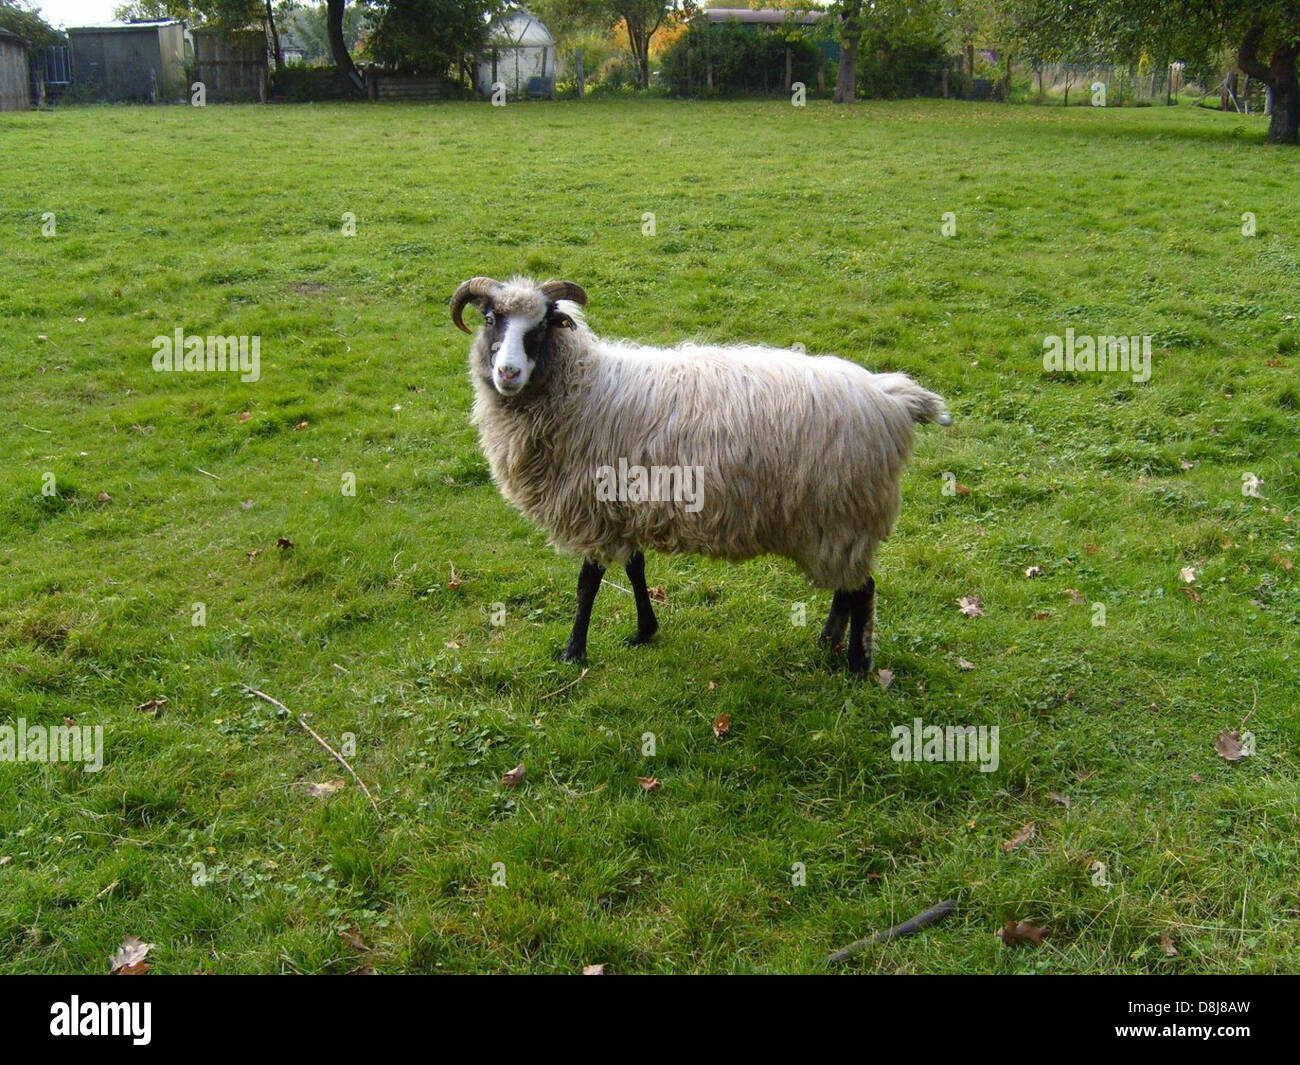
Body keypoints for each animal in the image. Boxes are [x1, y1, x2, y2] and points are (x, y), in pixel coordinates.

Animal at [451, 275, 952, 674]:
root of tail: (891, 397)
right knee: (848, 589)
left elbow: (586, 586)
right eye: (491, 318)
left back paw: (857, 665)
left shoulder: (595, 507)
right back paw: (829, 640)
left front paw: (574, 651)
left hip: (843, 516)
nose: (508, 372)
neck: (579, 388)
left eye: (541, 326)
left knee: (863, 590)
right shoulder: (627, 505)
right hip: (836, 522)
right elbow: (635, 568)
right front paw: (645, 631)